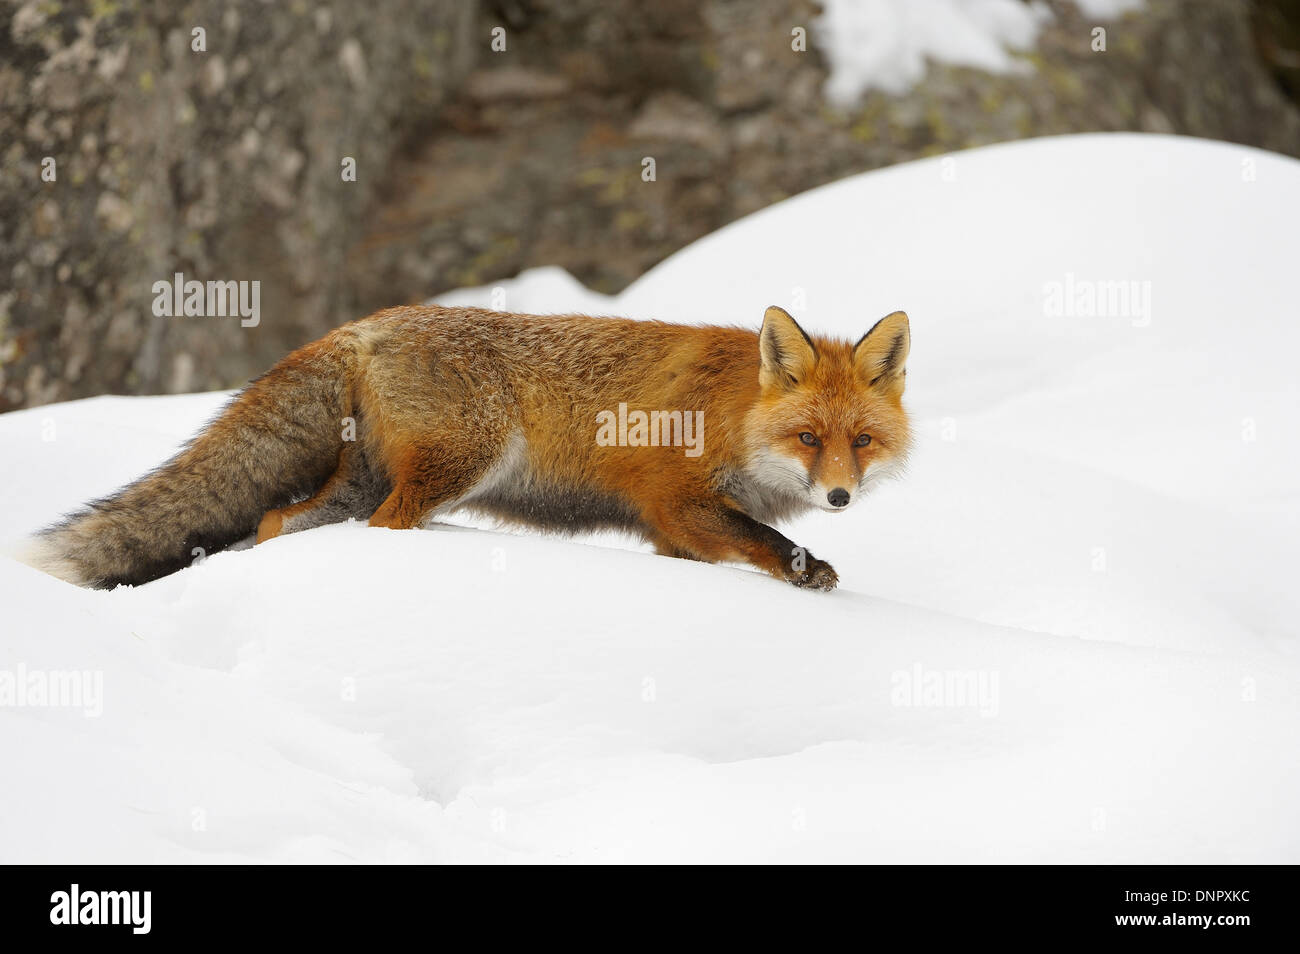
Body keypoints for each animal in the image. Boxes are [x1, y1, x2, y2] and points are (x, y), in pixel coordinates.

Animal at [18, 304, 912, 591]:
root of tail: (367, 322)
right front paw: (808, 571)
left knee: (277, 524)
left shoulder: (671, 531)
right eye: (808, 438)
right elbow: (764, 541)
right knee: (387, 526)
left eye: (861, 442)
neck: (731, 414)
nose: (839, 496)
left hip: (361, 483)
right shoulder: (673, 498)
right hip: (460, 462)